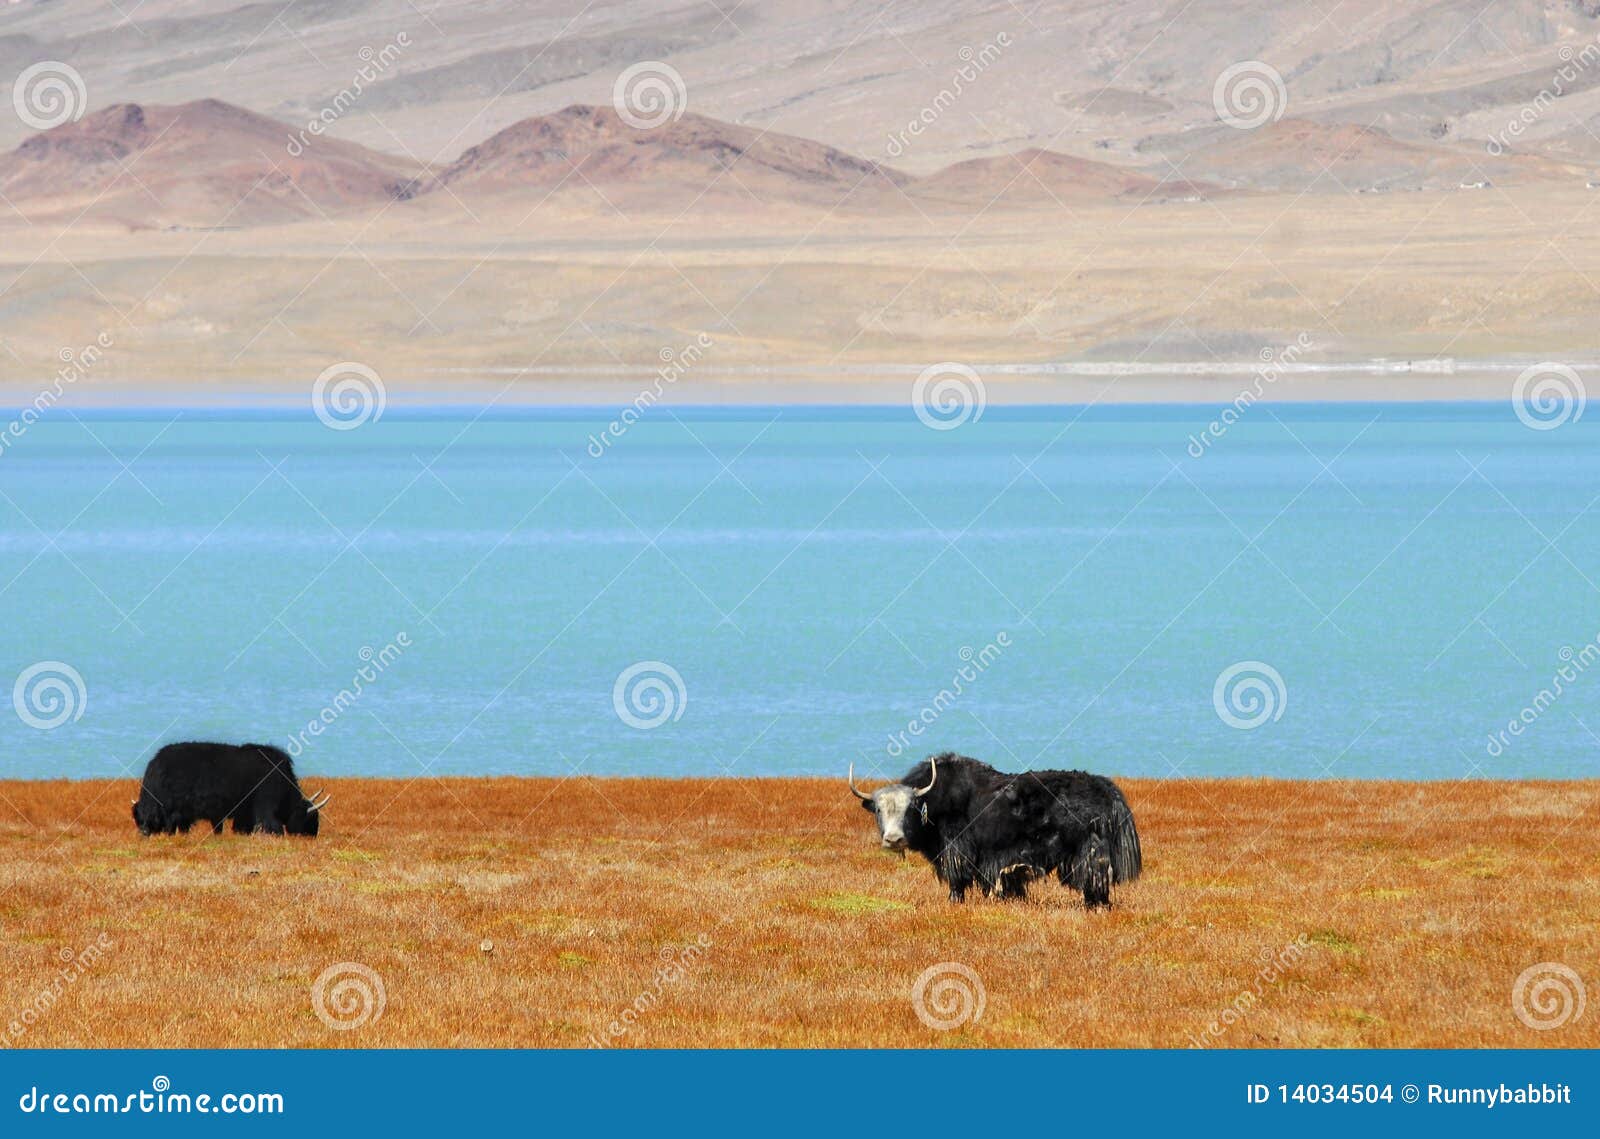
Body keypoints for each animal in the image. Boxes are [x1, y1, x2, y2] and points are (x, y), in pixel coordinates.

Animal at [849, 752, 1141, 908]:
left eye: (910, 808)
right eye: (878, 810)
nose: (893, 839)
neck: (935, 802)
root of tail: (1109, 791)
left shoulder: (956, 851)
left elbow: (956, 881)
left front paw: (954, 903)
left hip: (1090, 852)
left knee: (1096, 884)